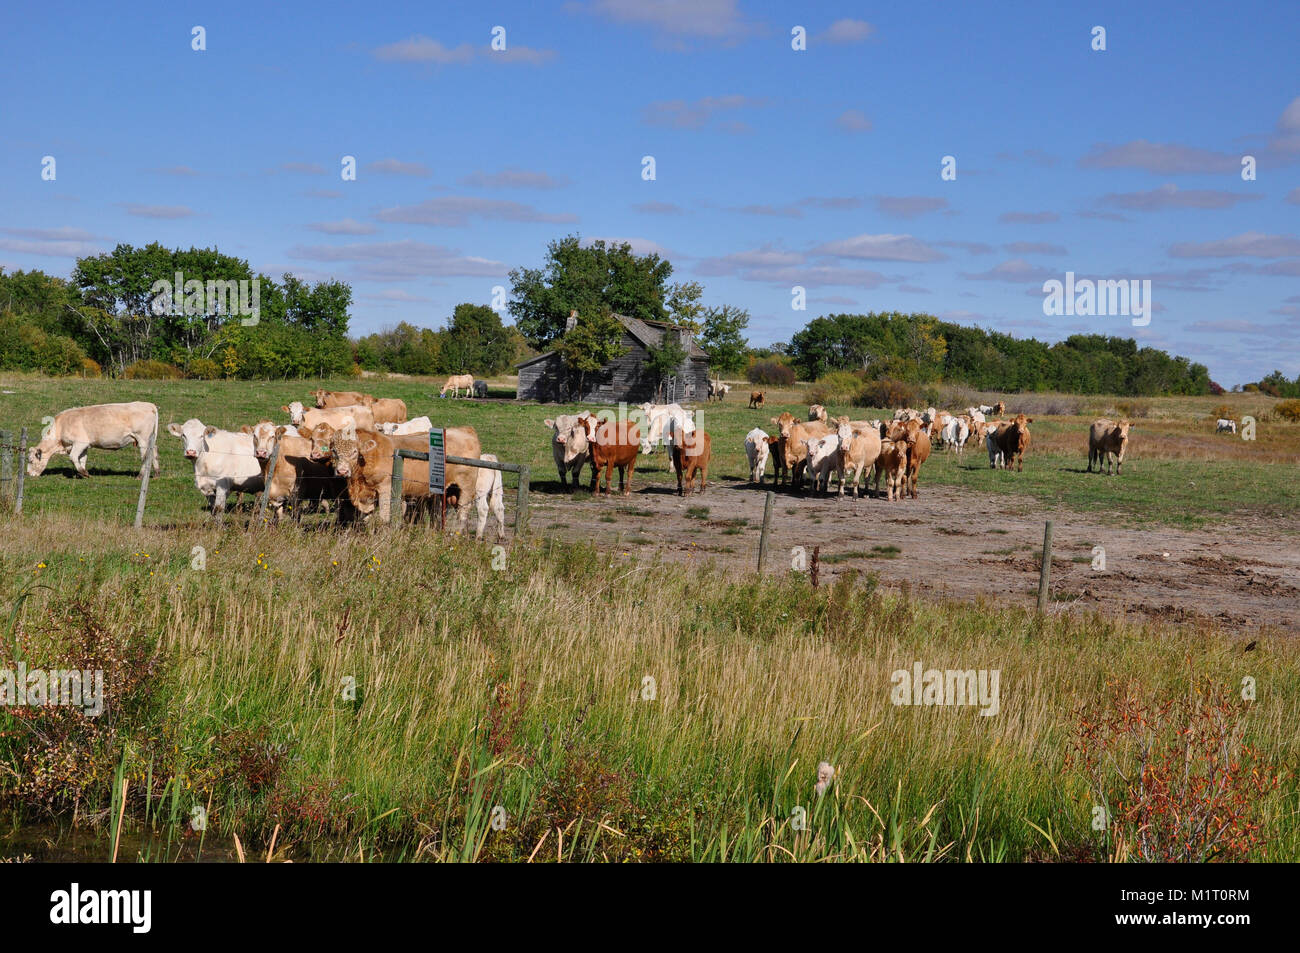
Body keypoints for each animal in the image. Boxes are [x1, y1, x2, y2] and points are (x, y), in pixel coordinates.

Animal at [26, 402, 159, 478]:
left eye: (31, 461)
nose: (28, 474)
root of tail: (149, 404)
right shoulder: (84, 446)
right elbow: (82, 459)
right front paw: (81, 474)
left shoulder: (79, 443)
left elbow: (73, 457)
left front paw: (84, 473)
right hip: (149, 440)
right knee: (154, 452)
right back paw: (156, 473)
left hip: (142, 439)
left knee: (145, 457)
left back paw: (140, 476)